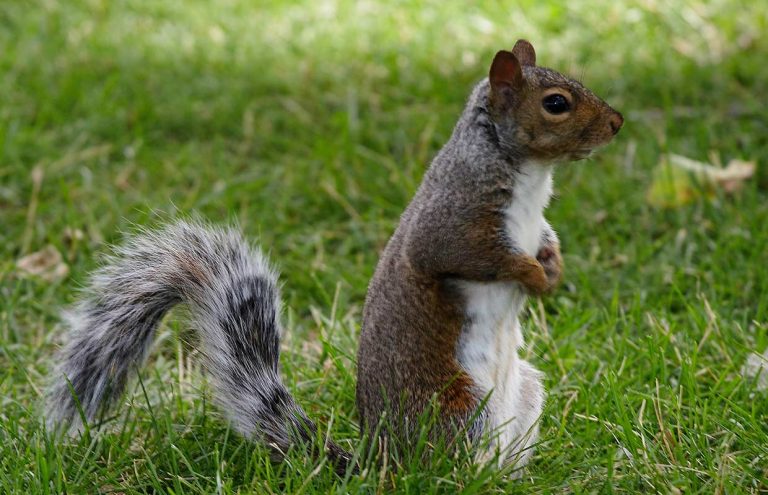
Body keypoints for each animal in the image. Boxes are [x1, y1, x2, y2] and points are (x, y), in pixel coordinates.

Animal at [46, 40, 622, 475]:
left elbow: (546, 238)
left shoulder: (534, 222)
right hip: (458, 409)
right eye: (556, 103)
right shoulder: (452, 222)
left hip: (523, 393)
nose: (617, 122)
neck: (529, 177)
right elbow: (472, 256)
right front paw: (534, 276)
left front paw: (554, 265)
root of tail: (383, 463)